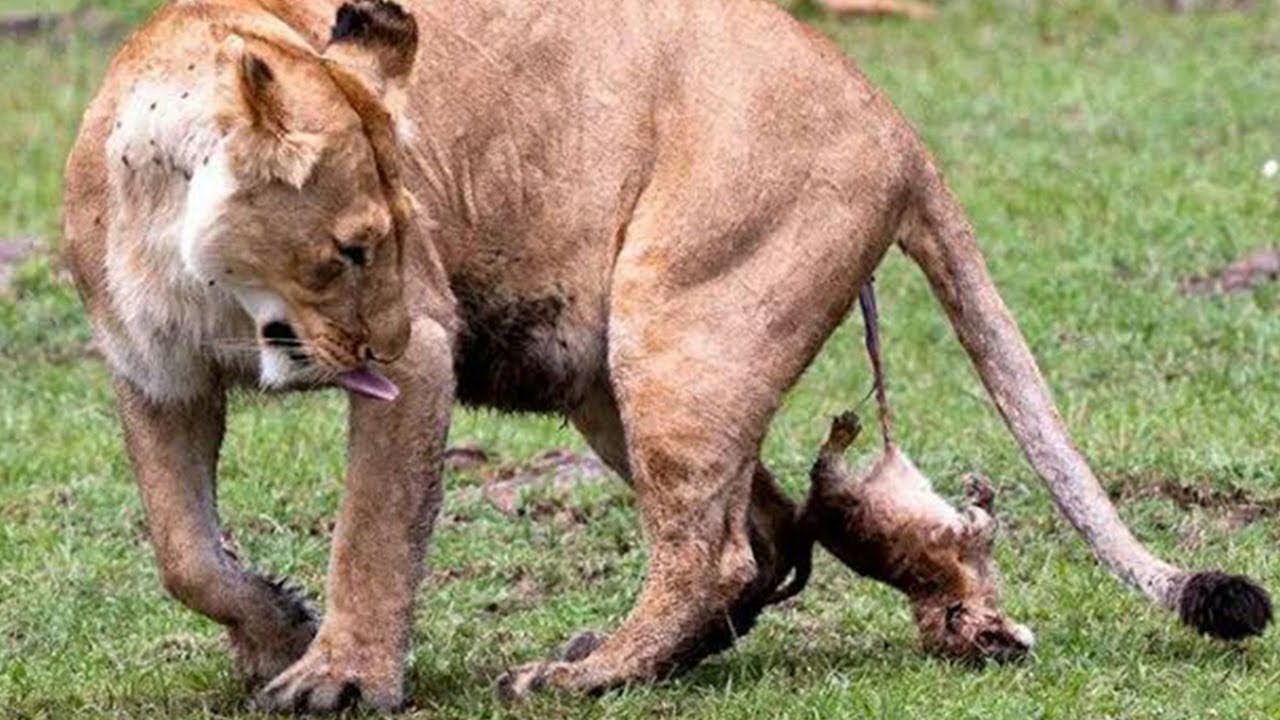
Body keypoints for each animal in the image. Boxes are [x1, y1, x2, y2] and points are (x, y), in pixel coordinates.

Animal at [63, 0, 1271, 712]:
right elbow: (182, 548)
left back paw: (583, 672)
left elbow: (371, 532)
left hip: (674, 326)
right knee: (773, 533)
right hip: (614, 370)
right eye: (356, 246)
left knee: (716, 549)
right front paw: (276, 630)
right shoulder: (151, 375)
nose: (384, 335)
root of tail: (894, 118)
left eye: (408, 236)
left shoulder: (425, 355)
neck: (191, 256)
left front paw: (341, 676)